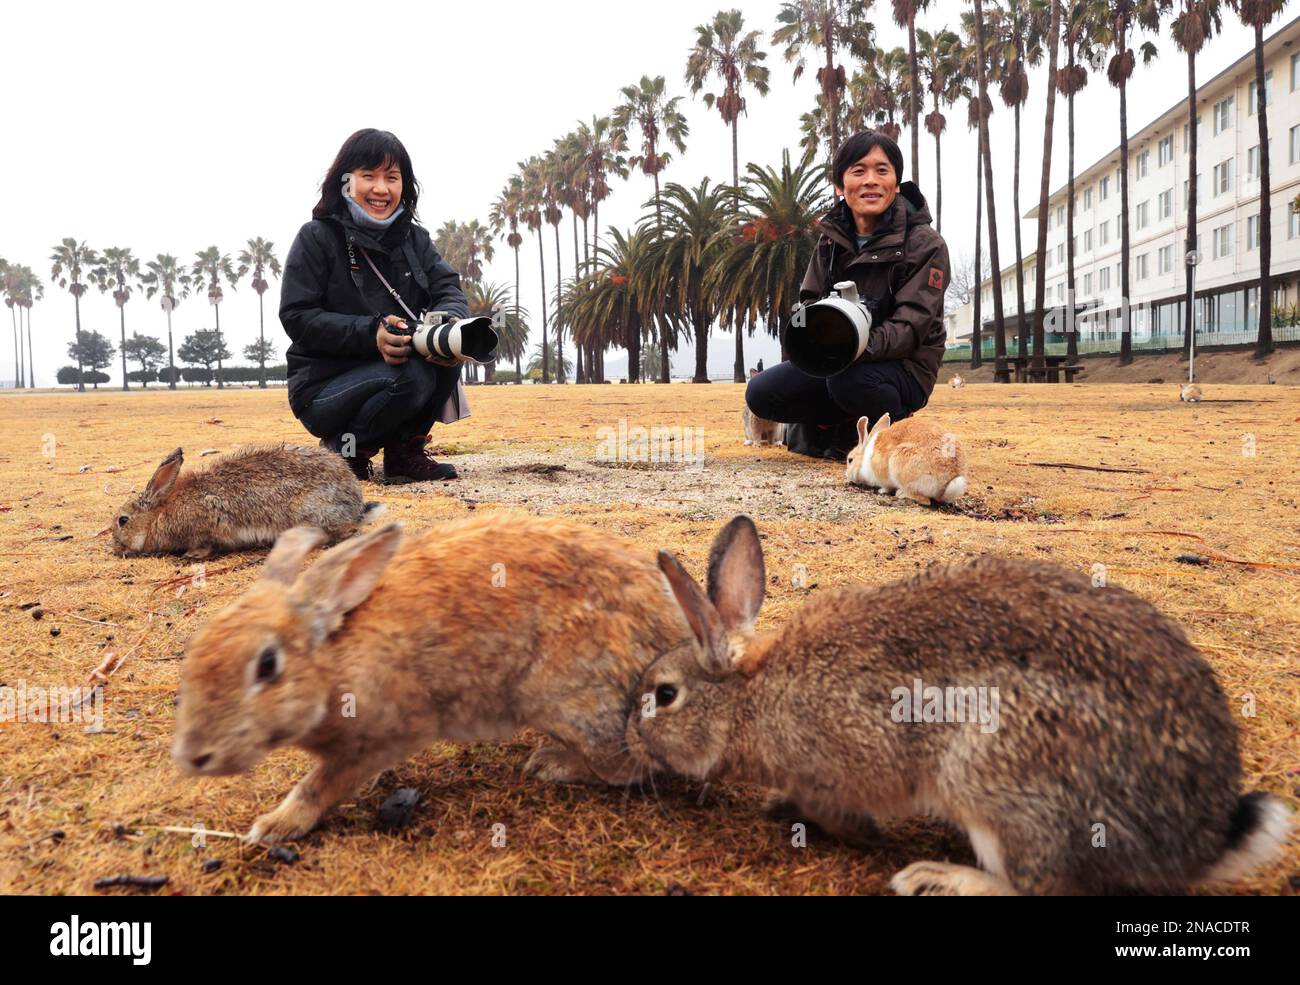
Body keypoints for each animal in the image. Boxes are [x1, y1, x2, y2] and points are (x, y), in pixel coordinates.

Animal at [111, 444, 381, 559]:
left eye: (123, 520)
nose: (114, 549)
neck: (158, 515)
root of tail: (355, 506)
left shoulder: (208, 525)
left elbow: (206, 544)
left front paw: (192, 555)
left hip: (314, 514)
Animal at [171, 510, 693, 844]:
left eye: (267, 665)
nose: (193, 758)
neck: (333, 663)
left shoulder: (380, 737)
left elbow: (319, 785)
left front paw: (275, 827)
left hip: (571, 700)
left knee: (631, 767)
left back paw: (552, 764)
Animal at [626, 515, 1293, 896]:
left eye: (664, 695)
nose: (629, 736)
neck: (750, 698)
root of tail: (1193, 845)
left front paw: (847, 831)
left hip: (997, 777)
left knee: (1042, 886)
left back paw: (938, 879)